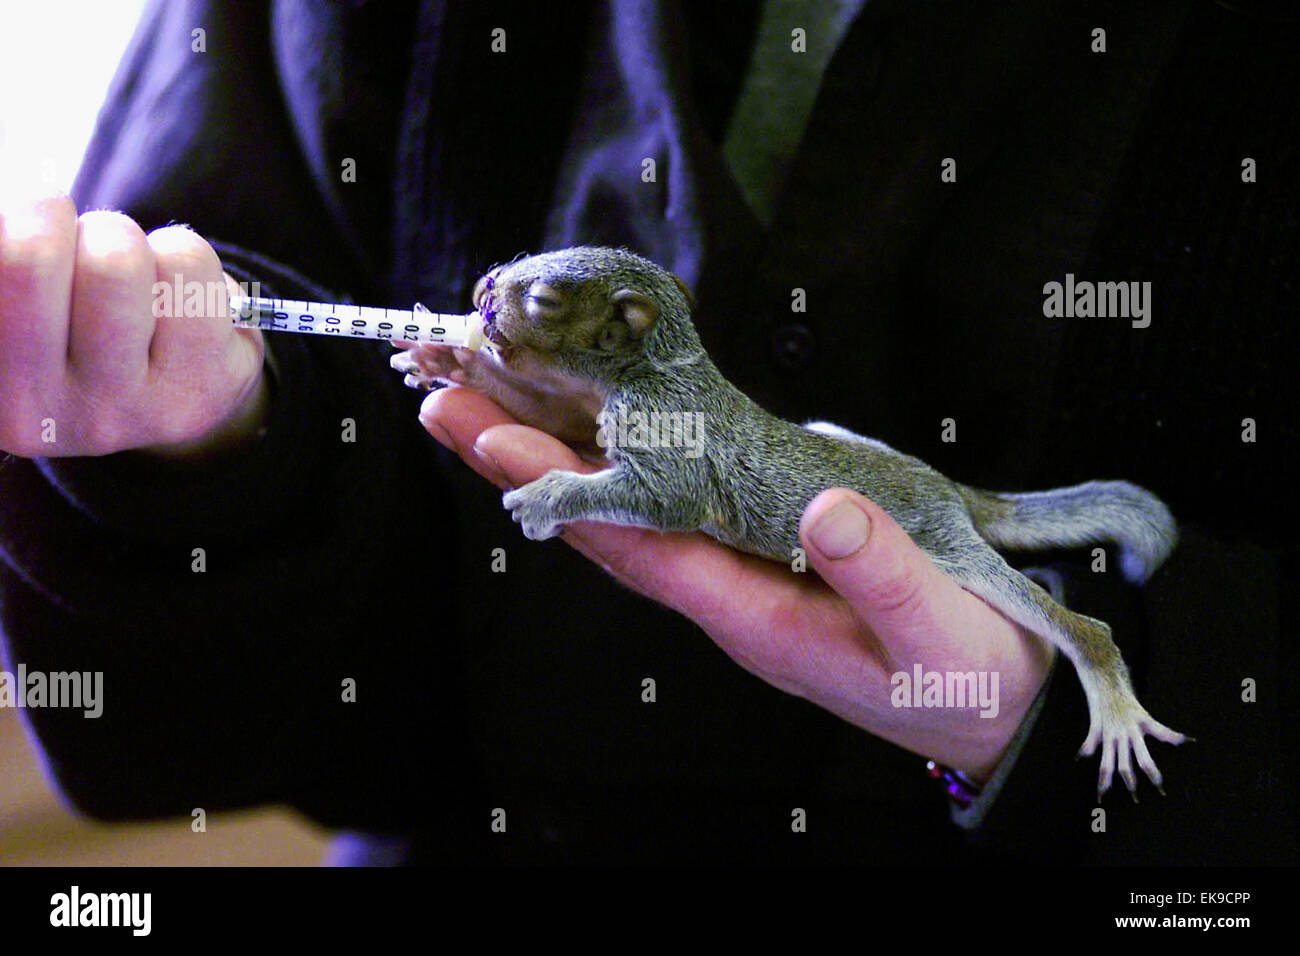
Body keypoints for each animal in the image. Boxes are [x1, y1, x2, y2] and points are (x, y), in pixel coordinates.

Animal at [390, 245, 1187, 799]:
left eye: (545, 297)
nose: (481, 292)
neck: (657, 366)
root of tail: (949, 488)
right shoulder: (592, 417)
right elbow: (548, 417)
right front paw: (446, 359)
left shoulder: (671, 445)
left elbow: (664, 498)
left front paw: (546, 497)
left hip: (949, 551)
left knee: (1081, 626)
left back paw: (1110, 696)